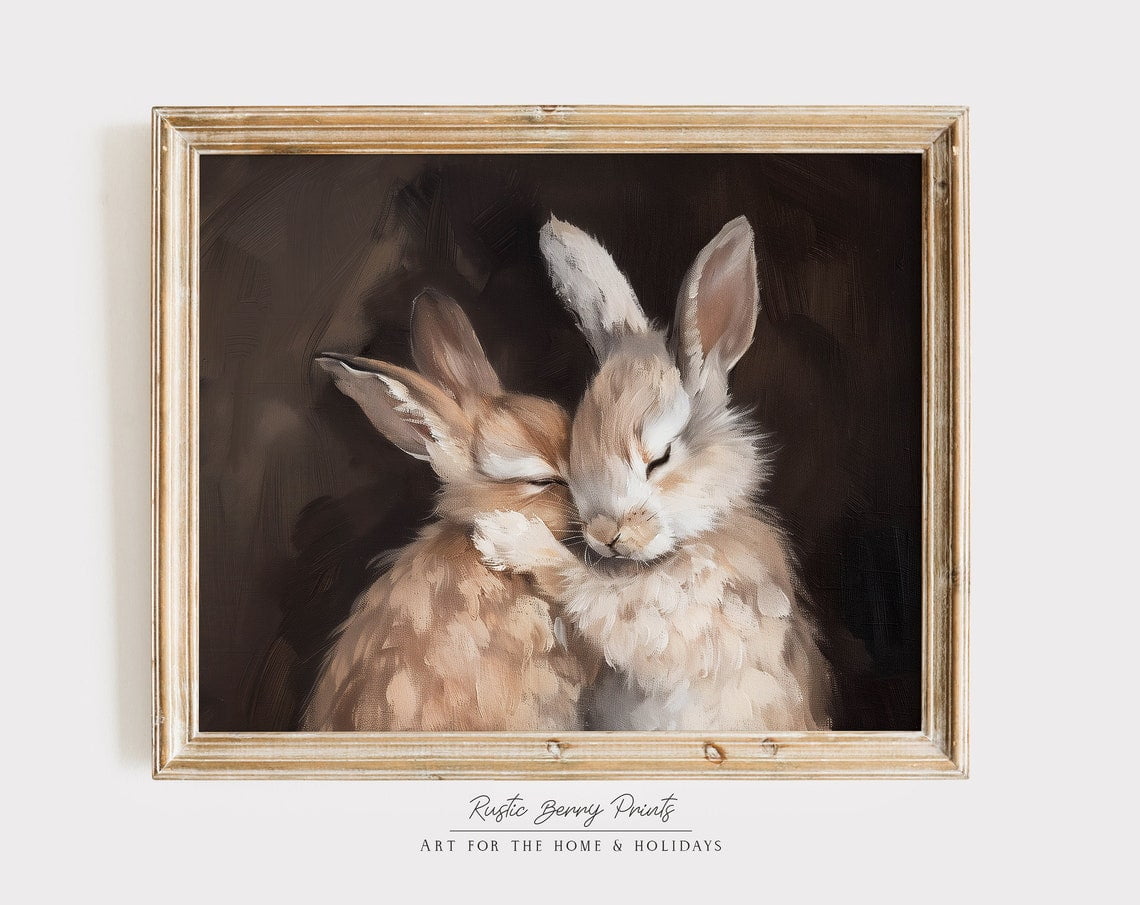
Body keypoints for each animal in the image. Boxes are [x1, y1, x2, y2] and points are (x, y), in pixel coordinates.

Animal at [473, 216, 834, 731]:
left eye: (659, 459)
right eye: (577, 450)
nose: (605, 533)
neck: (691, 538)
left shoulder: (682, 615)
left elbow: (590, 590)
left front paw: (507, 538)